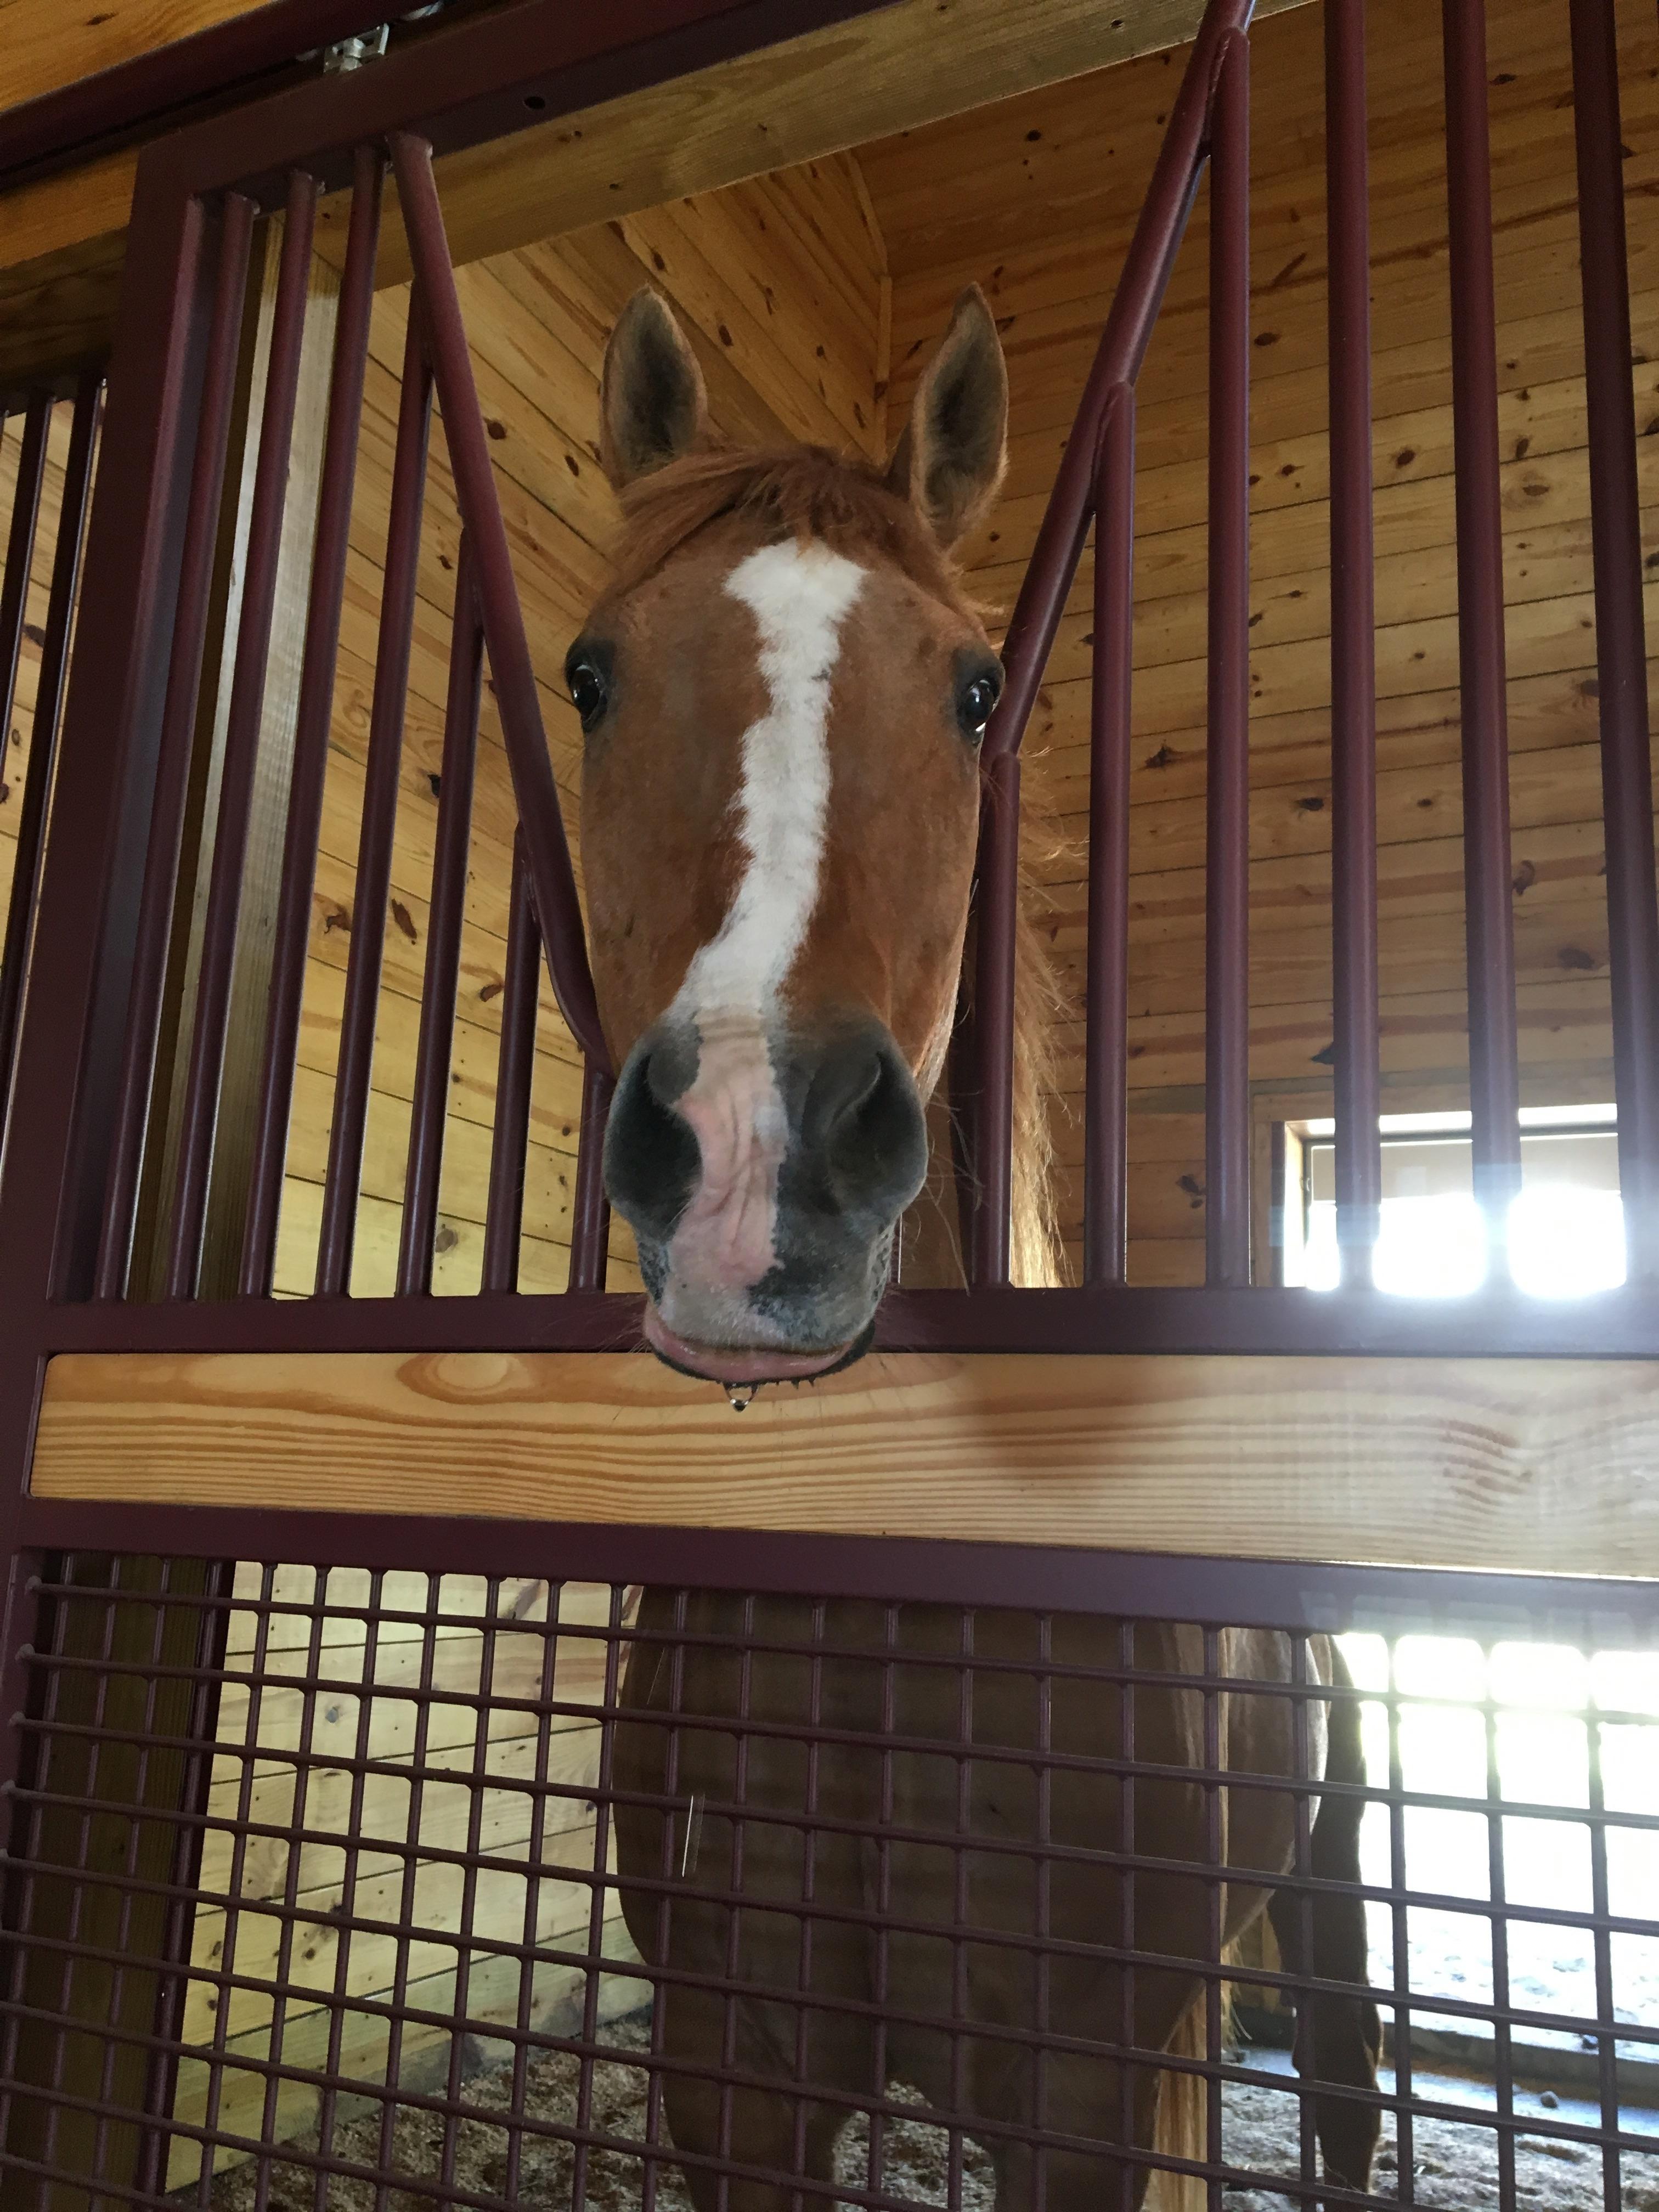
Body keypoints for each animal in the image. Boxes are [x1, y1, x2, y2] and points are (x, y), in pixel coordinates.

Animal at [567, 284, 1382, 2208]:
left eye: (976, 684)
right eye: (588, 674)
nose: (753, 1154)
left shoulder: (1081, 2100)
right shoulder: (735, 2088)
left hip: (1325, 1910)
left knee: (1338, 2090)